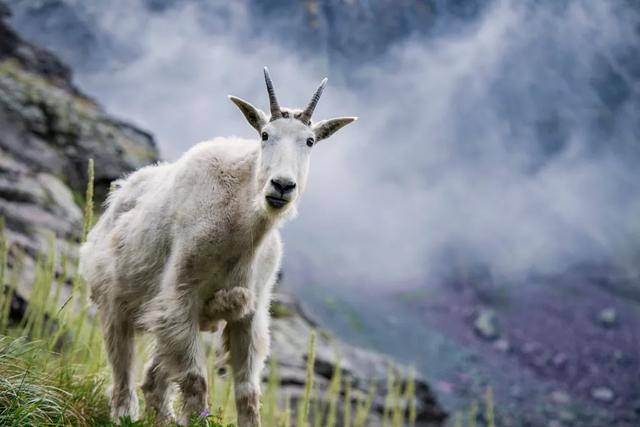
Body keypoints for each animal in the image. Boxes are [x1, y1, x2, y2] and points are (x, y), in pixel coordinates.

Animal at [78, 68, 358, 426]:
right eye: (265, 135)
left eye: (309, 141)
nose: (282, 186)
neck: (241, 228)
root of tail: (120, 192)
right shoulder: (181, 296)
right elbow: (196, 381)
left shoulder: (249, 312)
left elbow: (248, 392)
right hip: (115, 299)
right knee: (123, 365)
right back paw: (124, 413)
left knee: (154, 378)